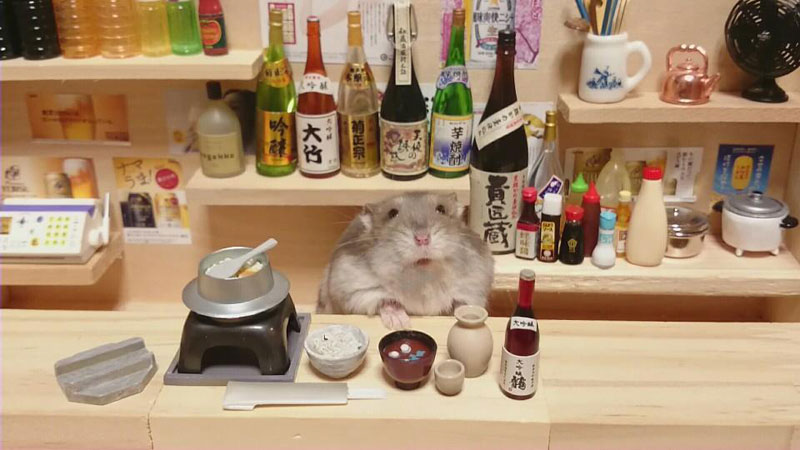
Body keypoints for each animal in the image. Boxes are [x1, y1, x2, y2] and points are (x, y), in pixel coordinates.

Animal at [317, 192, 494, 329]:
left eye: (441, 209)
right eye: (392, 213)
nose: (422, 238)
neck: (422, 276)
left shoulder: (473, 287)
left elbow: (461, 304)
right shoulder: (355, 291)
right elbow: (385, 301)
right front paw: (401, 324)